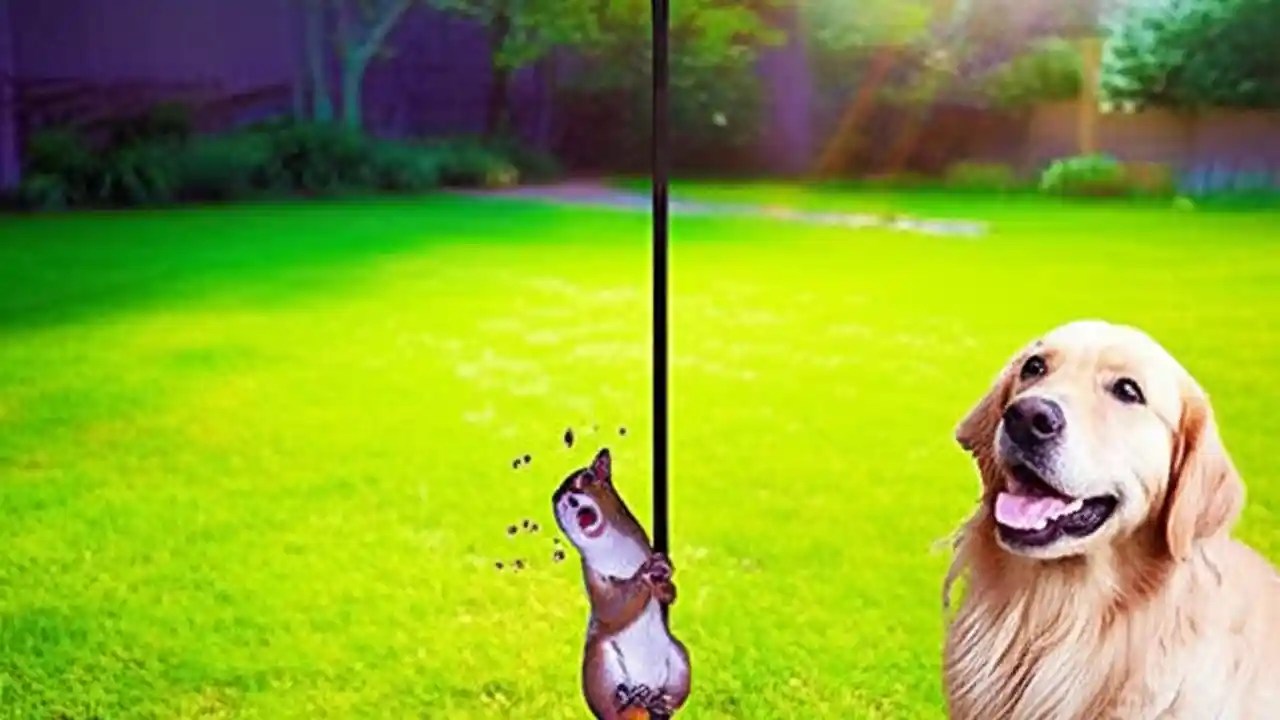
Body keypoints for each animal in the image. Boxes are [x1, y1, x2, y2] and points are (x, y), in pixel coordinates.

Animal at [551, 448, 691, 720]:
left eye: (588, 477)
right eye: (558, 503)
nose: (570, 502)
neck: (613, 546)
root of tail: (647, 685)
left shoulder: (646, 549)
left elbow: (667, 593)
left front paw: (664, 578)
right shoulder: (593, 576)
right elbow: (613, 606)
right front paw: (644, 574)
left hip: (680, 662)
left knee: (673, 694)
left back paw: (661, 702)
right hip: (600, 667)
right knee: (612, 706)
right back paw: (627, 704)